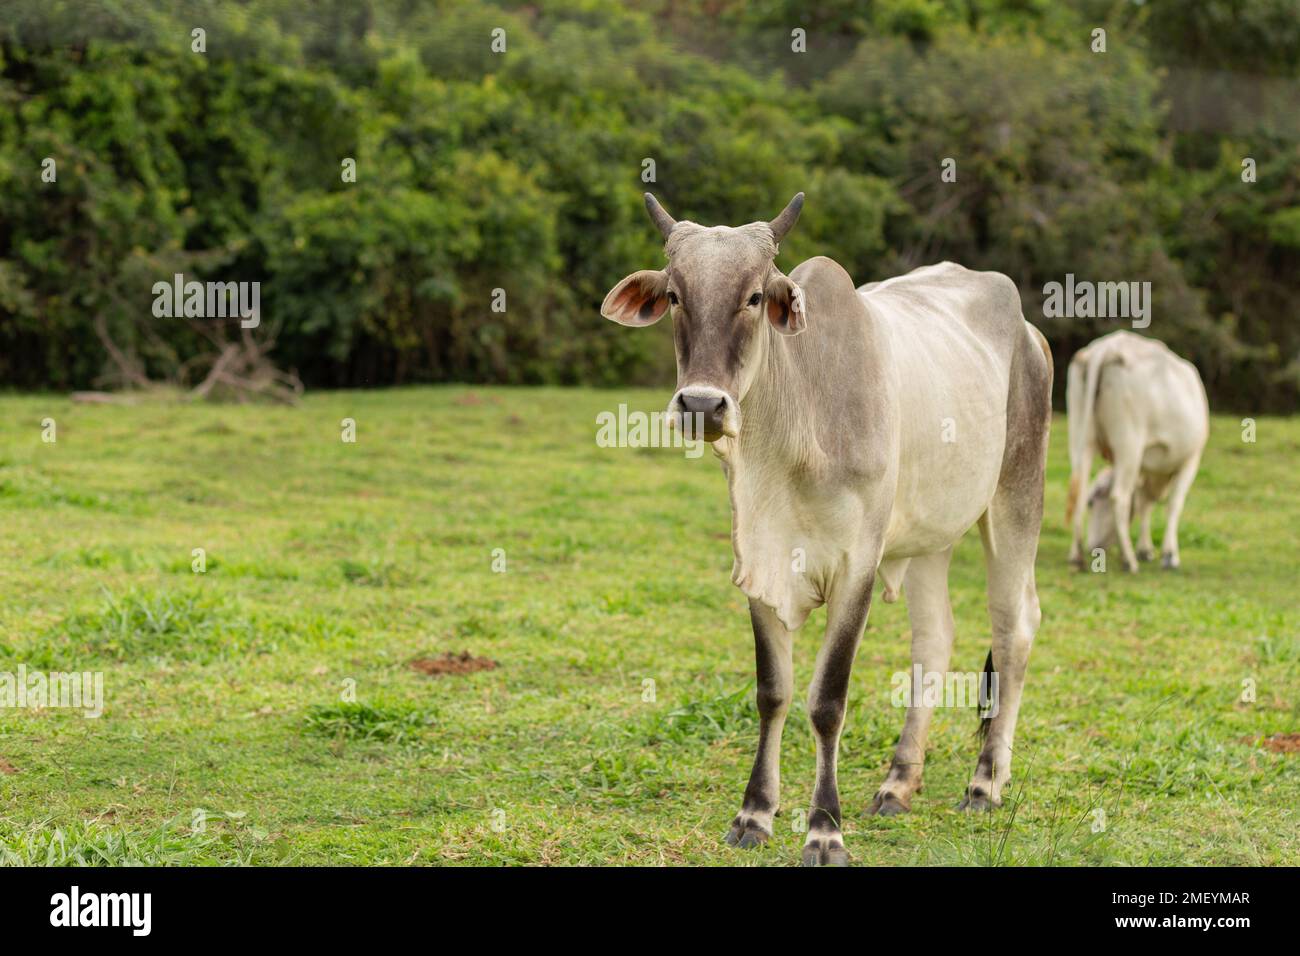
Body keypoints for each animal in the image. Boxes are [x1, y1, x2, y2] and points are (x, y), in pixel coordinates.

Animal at [601, 193, 1053, 865]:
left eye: (754, 297)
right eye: (677, 295)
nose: (703, 405)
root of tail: (1028, 330)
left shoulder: (857, 564)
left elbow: (827, 701)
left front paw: (824, 829)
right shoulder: (757, 560)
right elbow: (773, 691)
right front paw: (754, 813)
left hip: (1015, 497)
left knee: (1014, 626)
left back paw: (986, 781)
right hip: (931, 533)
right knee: (934, 638)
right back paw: (899, 782)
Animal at [1065, 330, 1208, 573]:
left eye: (1095, 503)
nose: (1093, 545)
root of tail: (1107, 346)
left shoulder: (1146, 466)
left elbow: (1143, 503)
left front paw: (1145, 549)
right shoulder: (1191, 460)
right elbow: (1173, 504)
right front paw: (1169, 555)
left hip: (1080, 437)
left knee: (1080, 489)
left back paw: (1077, 556)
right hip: (1129, 443)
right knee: (1120, 497)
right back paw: (1129, 560)